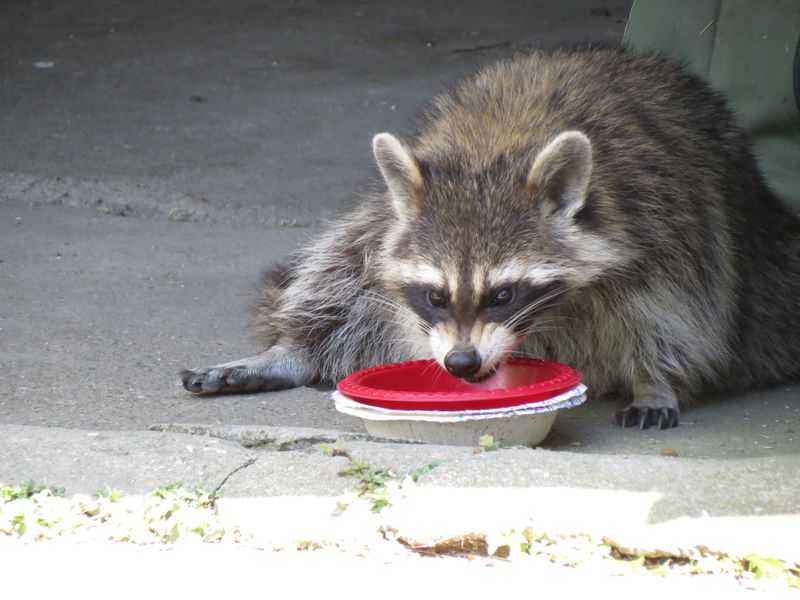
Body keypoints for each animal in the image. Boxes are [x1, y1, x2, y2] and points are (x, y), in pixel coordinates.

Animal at [181, 47, 800, 430]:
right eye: (434, 295)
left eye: (504, 294)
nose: (461, 362)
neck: (491, 153)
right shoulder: (392, 229)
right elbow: (351, 284)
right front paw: (297, 346)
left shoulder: (665, 224)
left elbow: (676, 314)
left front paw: (655, 378)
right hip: (376, 217)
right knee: (341, 275)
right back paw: (294, 351)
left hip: (761, 256)